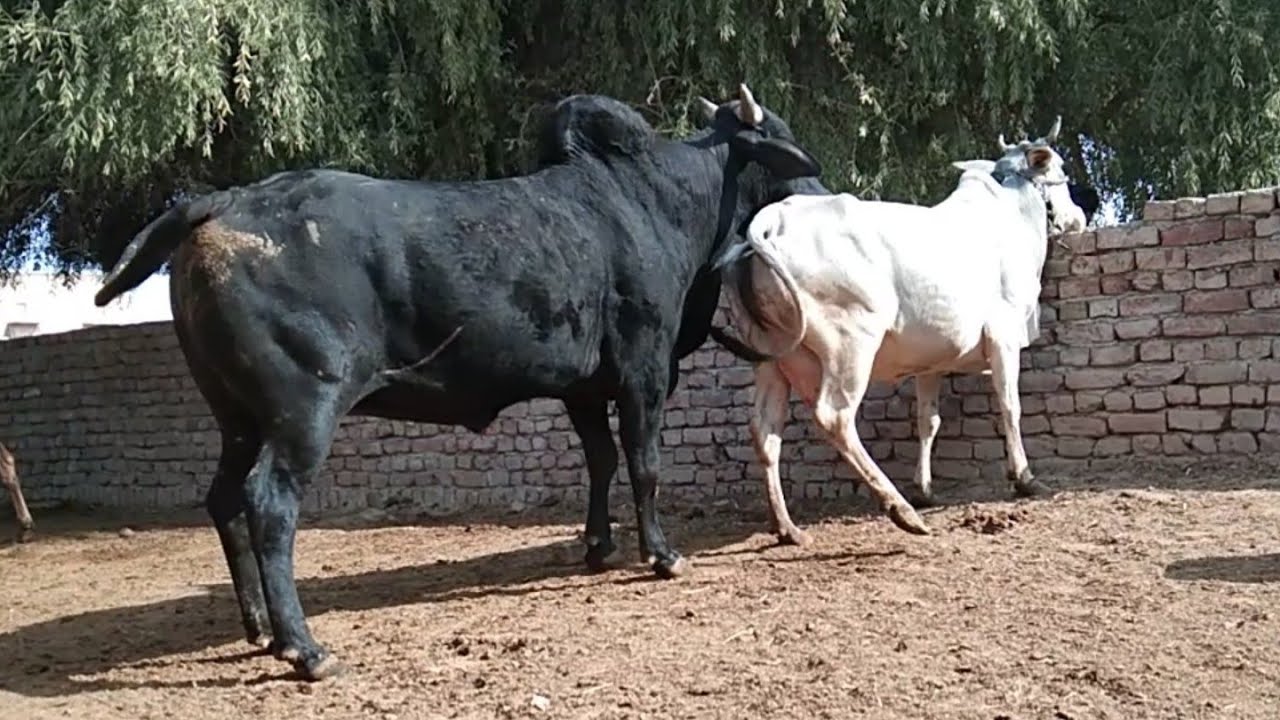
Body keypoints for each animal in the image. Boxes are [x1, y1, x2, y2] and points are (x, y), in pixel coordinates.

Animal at [91, 84, 823, 681]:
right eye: (784, 141)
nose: (822, 186)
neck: (657, 201)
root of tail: (223, 200)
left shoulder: (584, 387)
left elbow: (601, 460)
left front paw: (597, 545)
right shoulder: (644, 367)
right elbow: (644, 463)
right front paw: (662, 554)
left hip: (236, 416)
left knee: (222, 500)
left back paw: (259, 629)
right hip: (304, 410)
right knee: (267, 504)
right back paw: (304, 648)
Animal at [712, 117, 1088, 547]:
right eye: (1060, 170)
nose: (1078, 217)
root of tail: (772, 220)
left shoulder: (932, 363)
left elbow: (928, 420)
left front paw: (924, 488)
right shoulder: (1004, 337)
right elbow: (1011, 406)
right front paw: (1025, 478)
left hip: (771, 357)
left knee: (765, 430)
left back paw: (788, 527)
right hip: (851, 344)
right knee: (835, 417)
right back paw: (901, 511)